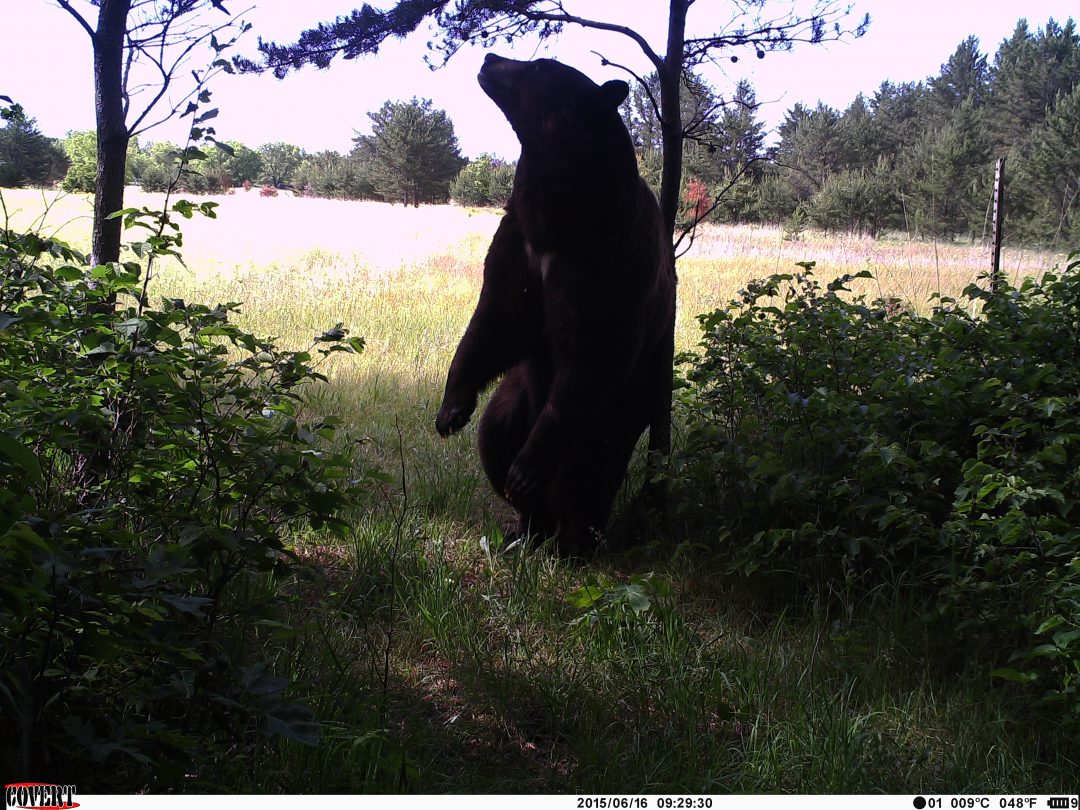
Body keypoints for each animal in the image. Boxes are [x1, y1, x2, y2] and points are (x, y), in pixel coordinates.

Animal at [435, 54, 676, 556]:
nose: (489, 57)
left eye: (539, 64)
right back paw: (524, 527)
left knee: (585, 470)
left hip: (625, 409)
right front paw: (450, 410)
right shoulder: (520, 244)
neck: (561, 217)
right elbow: (497, 320)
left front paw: (527, 471)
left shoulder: (602, 266)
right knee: (496, 436)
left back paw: (571, 539)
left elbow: (591, 354)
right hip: (516, 398)